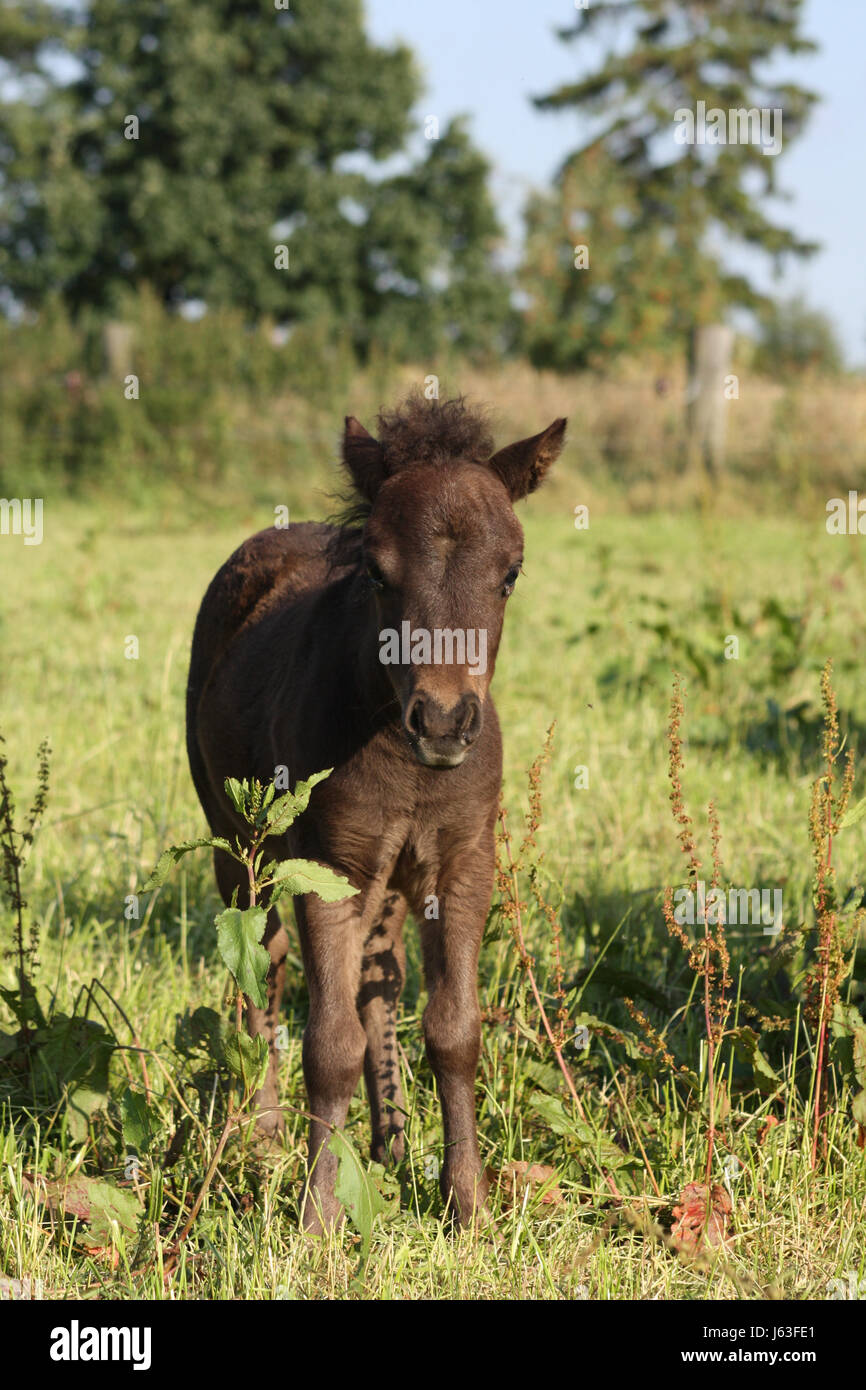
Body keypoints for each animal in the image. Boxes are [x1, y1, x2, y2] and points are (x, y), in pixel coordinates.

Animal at [185, 394, 566, 1230]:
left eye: (511, 574)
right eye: (376, 572)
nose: (446, 721)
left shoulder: (461, 863)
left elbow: (454, 1031)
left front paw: (468, 1204)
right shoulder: (330, 867)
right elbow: (329, 1040)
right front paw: (318, 1216)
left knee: (378, 981)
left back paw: (389, 1140)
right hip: (241, 843)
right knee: (262, 961)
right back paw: (264, 1132)